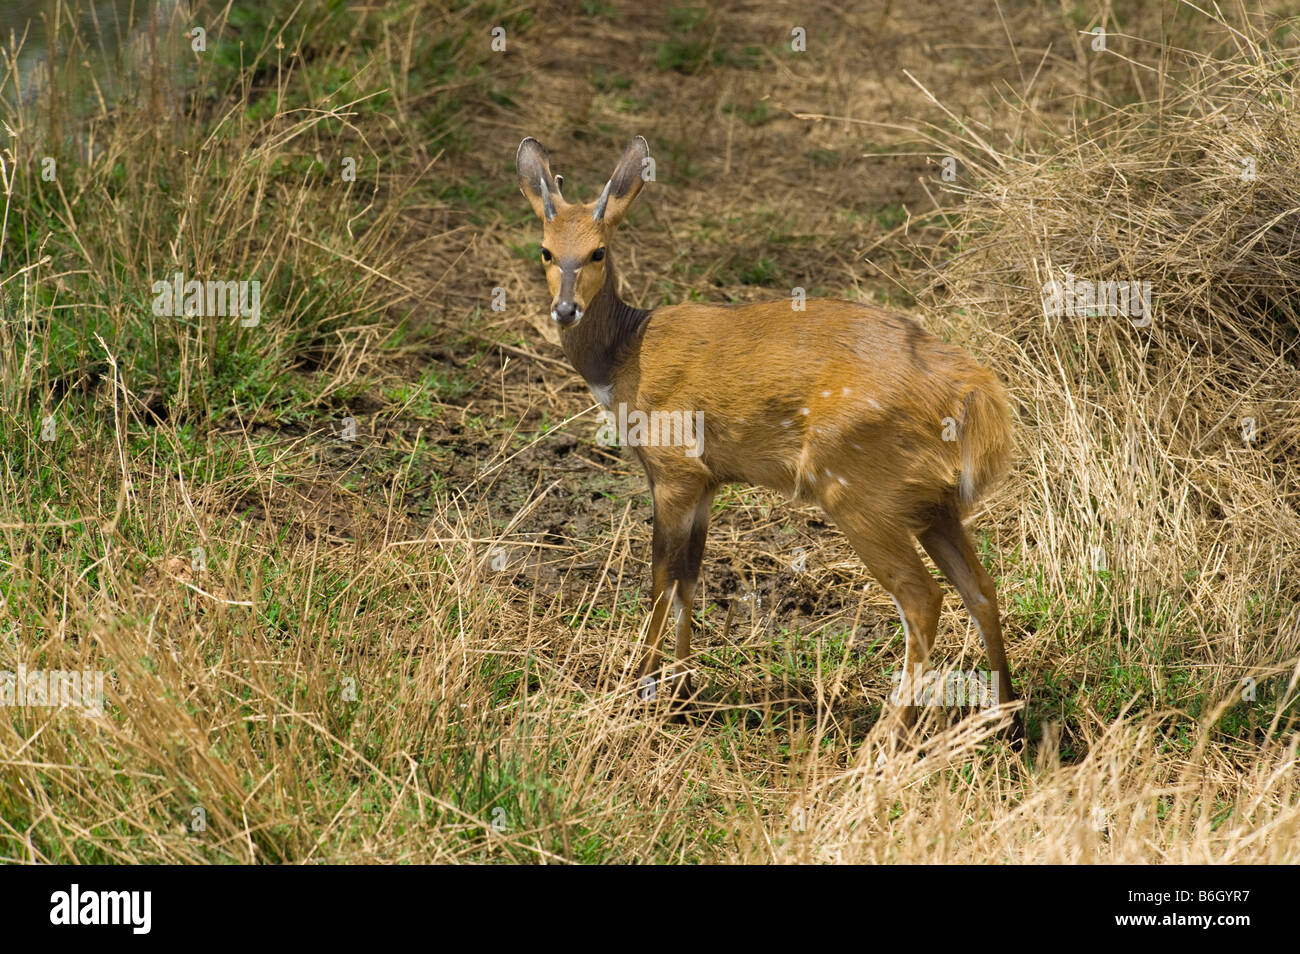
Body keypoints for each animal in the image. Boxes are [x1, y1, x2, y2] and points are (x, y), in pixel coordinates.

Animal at [515, 135, 1019, 732]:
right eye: (545, 251)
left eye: (597, 252)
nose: (565, 309)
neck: (623, 357)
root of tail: (971, 392)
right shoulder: (709, 481)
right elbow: (690, 576)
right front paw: (680, 693)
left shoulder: (674, 468)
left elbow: (660, 578)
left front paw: (640, 690)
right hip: (932, 501)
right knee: (981, 588)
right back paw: (1007, 719)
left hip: (856, 486)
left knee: (922, 598)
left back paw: (885, 738)